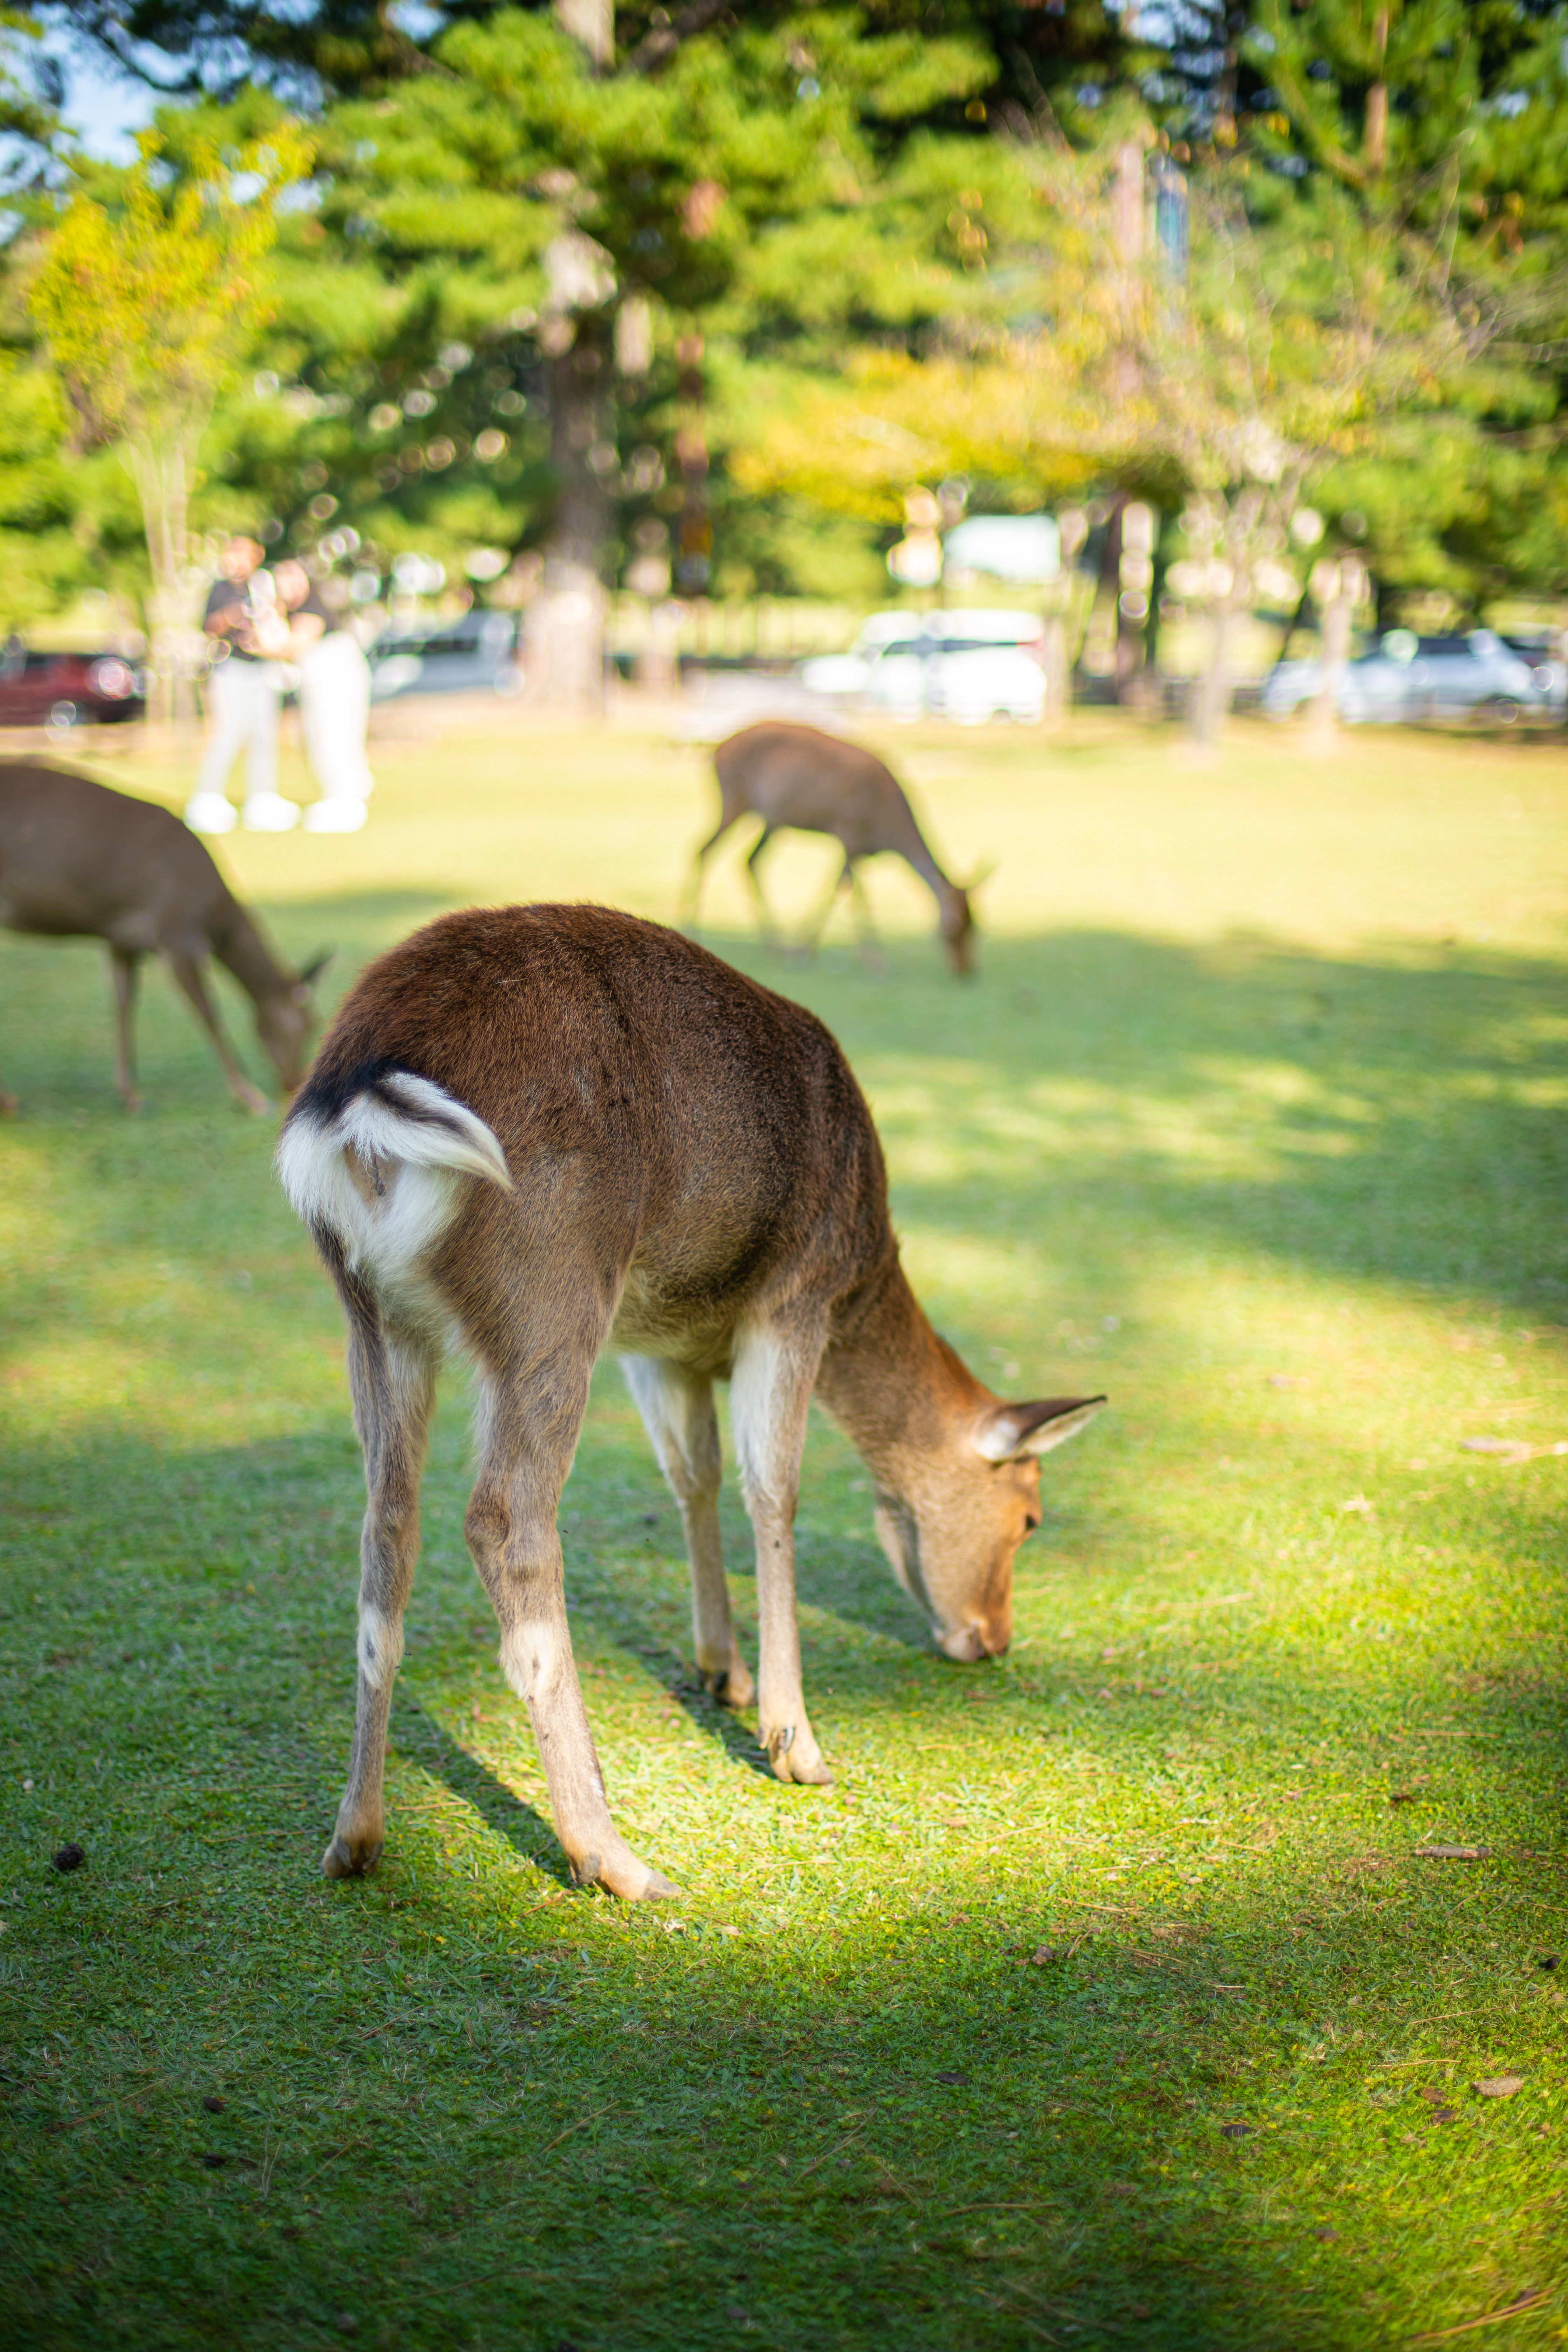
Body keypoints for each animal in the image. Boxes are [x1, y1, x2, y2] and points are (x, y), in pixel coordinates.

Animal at [0, 761, 329, 1114]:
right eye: (313, 1023)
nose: (292, 1084)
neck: (215, 917)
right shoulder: (176, 930)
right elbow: (208, 1012)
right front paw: (250, 1097)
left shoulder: (122, 940)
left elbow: (123, 1006)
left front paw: (131, 1096)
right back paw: (9, 1102)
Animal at [277, 903, 1102, 1900]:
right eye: (1029, 1519)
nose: (993, 1639)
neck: (865, 1269)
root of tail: (358, 1094)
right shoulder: (794, 1297)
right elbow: (772, 1490)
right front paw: (795, 1742)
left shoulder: (659, 1348)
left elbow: (694, 1477)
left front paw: (722, 1673)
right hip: (552, 1288)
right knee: (506, 1519)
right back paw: (613, 1855)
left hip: (376, 1319)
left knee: (387, 1521)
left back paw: (355, 1835)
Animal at [686, 722, 982, 975]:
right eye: (952, 928)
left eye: (975, 925)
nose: (965, 970)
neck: (888, 831)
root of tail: (715, 750)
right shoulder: (849, 831)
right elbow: (851, 890)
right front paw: (875, 962)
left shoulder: (856, 847)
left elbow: (840, 886)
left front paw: (803, 950)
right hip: (735, 799)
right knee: (704, 849)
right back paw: (694, 930)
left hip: (772, 819)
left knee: (749, 860)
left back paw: (775, 947)